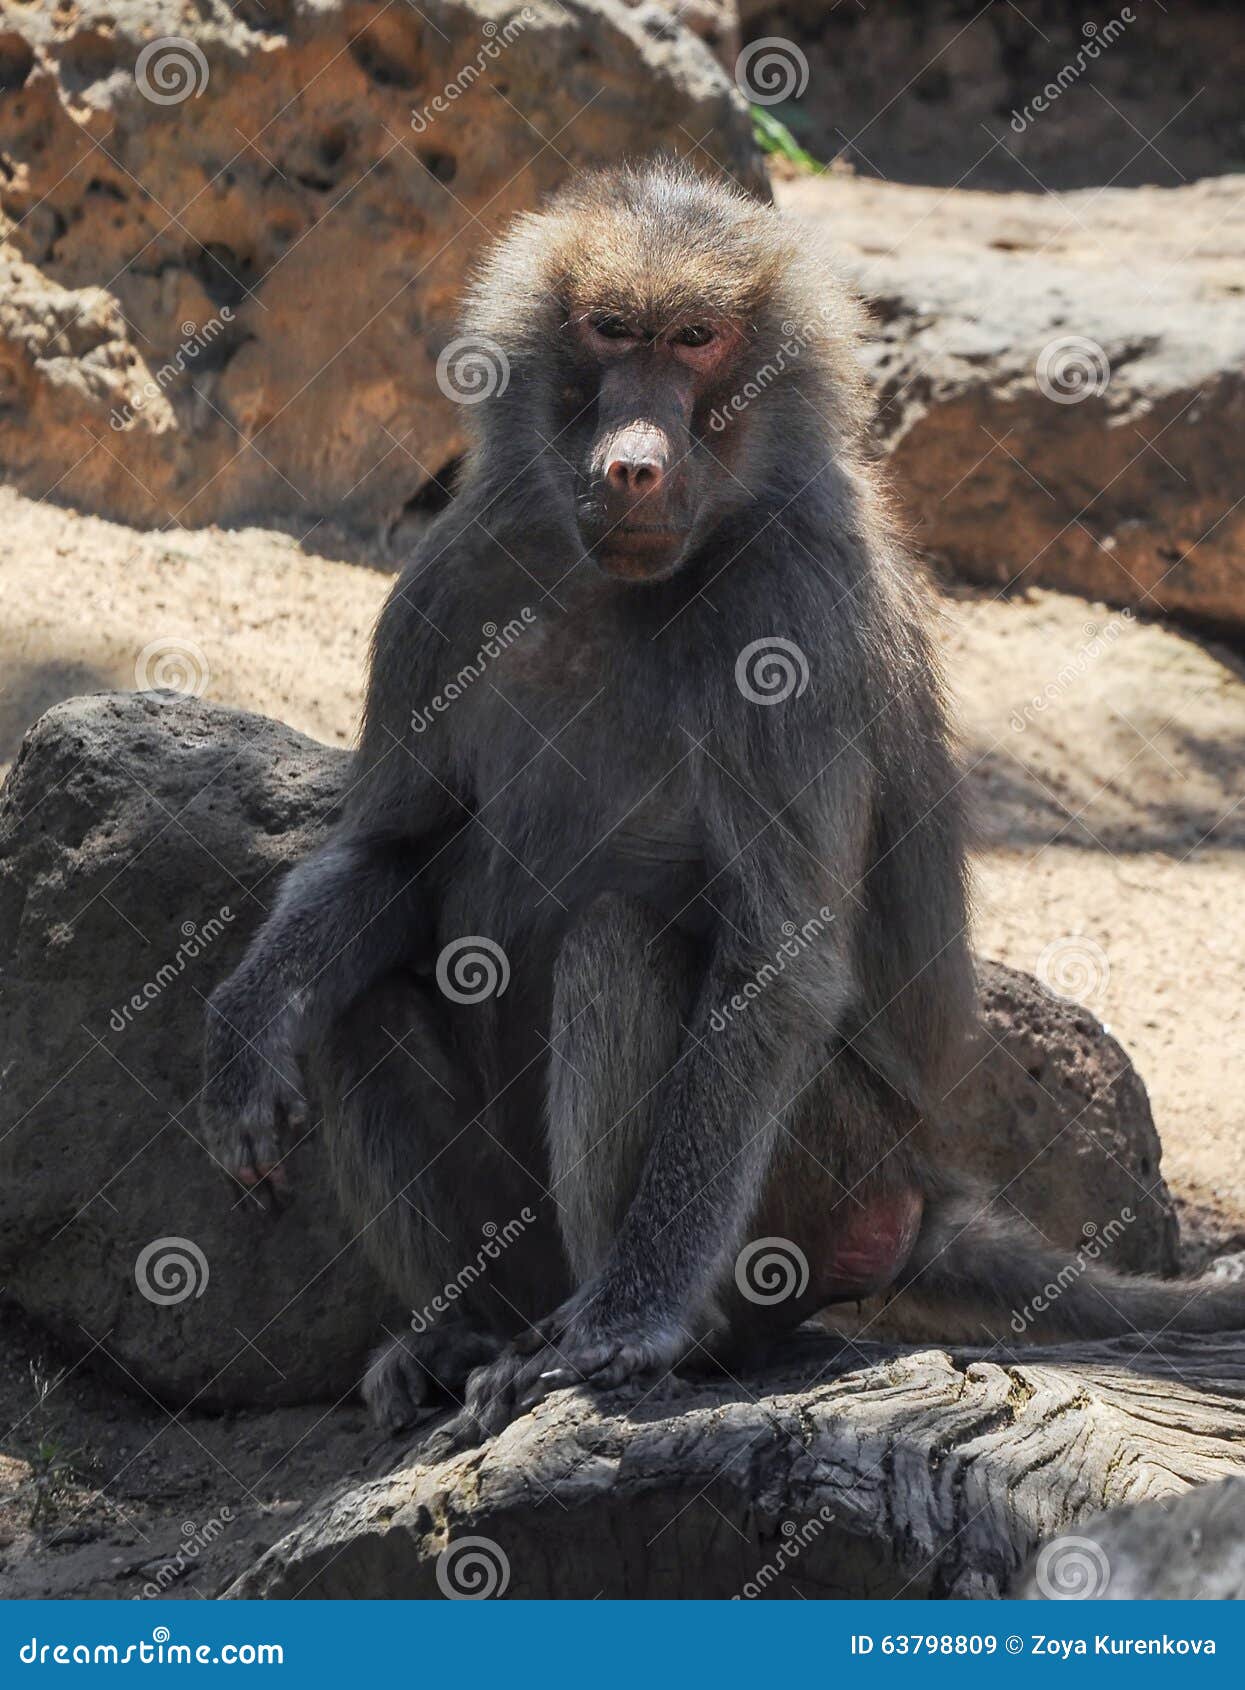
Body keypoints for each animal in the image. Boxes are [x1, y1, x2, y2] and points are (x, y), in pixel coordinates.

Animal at [200, 158, 1245, 1446]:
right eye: (613, 330)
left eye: (697, 340)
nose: (634, 463)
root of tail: (925, 1190)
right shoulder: (453, 573)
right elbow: (388, 854)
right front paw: (247, 1028)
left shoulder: (788, 610)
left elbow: (772, 961)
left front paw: (635, 1323)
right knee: (361, 1008)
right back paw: (464, 1337)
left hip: (823, 1181)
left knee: (621, 948)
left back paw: (667, 1336)